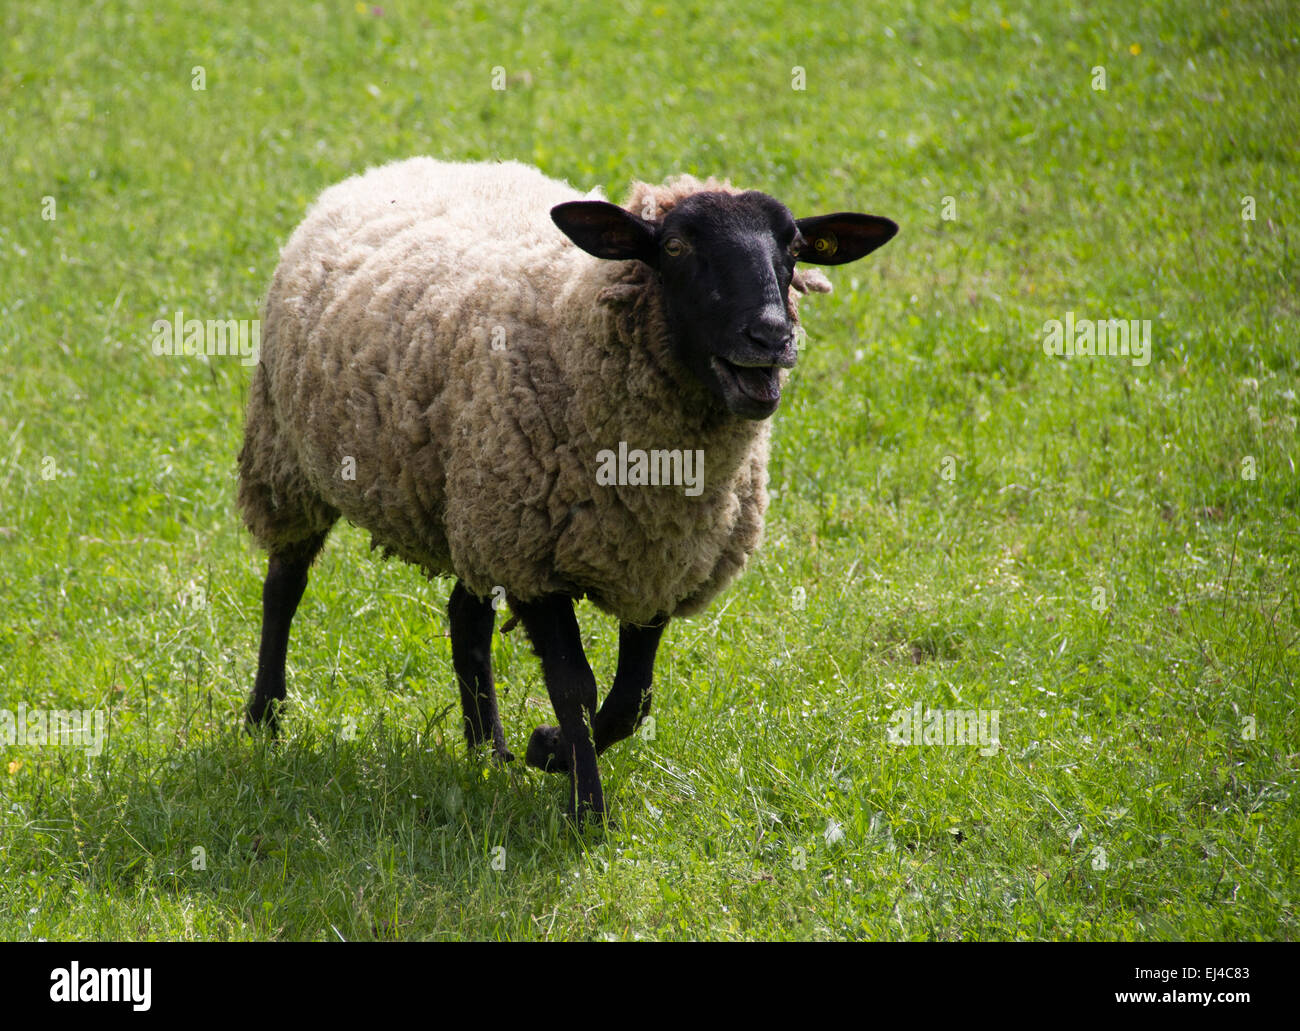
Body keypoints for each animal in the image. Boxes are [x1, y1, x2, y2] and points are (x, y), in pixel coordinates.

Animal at [238, 158, 897, 822]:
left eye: (793, 248)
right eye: (676, 247)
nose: (770, 335)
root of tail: (400, 166)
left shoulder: (658, 556)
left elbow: (634, 697)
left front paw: (546, 750)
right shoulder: (536, 559)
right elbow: (574, 684)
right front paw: (585, 807)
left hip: (472, 504)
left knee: (466, 619)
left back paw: (489, 750)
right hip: (290, 460)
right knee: (284, 588)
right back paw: (264, 717)